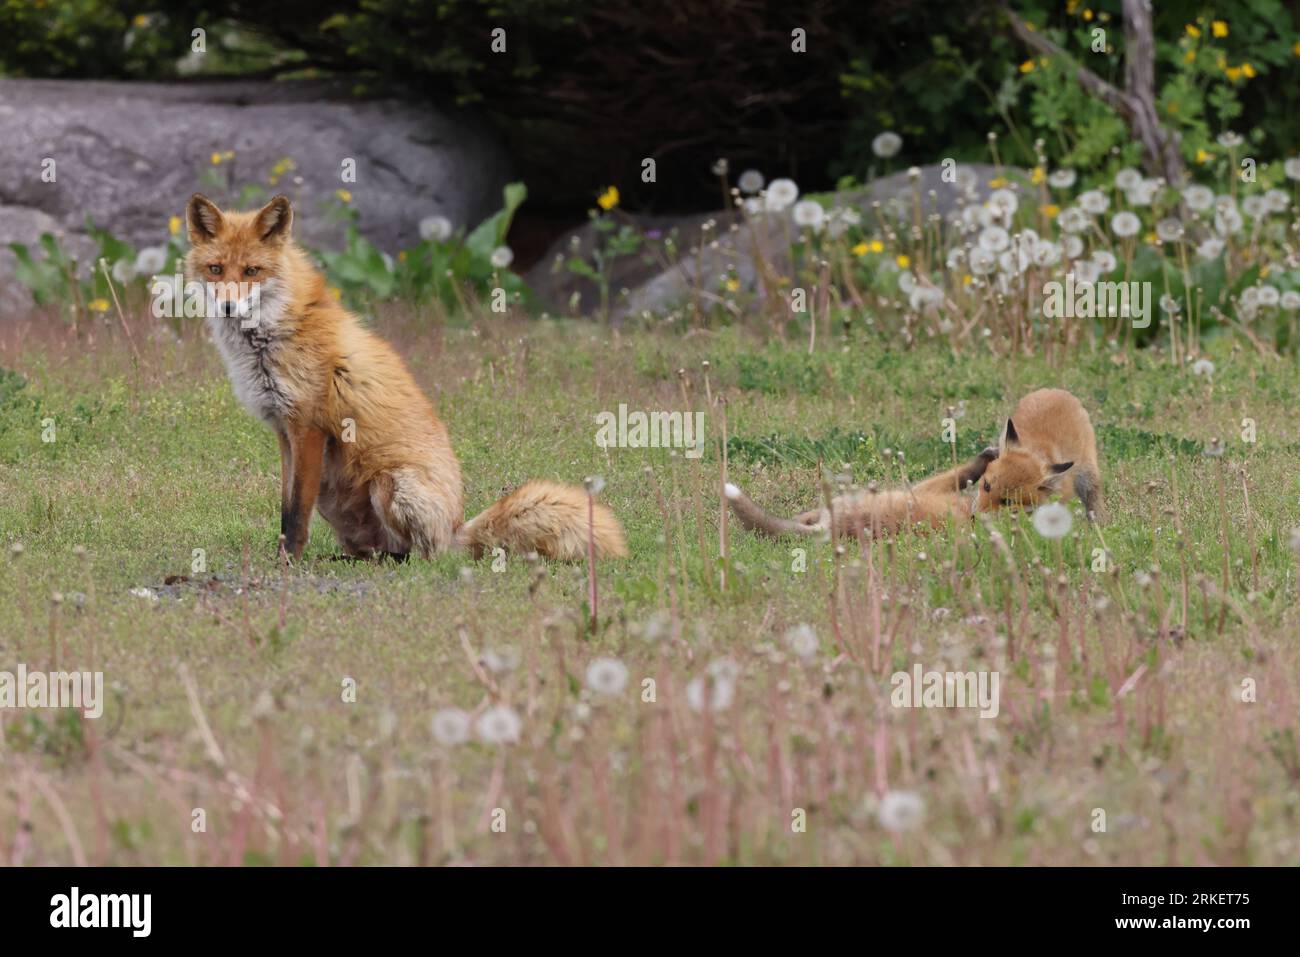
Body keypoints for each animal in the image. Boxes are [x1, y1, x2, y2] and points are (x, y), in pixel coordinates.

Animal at [184, 193, 626, 563]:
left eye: (252, 271)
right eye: (216, 269)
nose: (227, 307)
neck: (272, 335)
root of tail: (457, 529)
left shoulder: (307, 428)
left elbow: (295, 515)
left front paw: (287, 563)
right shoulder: (284, 432)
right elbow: (285, 507)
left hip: (391, 485)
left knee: (423, 556)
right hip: (334, 496)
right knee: (378, 550)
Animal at [974, 388, 1101, 519]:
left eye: (1008, 502)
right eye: (986, 486)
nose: (975, 516)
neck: (1035, 450)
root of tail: (1057, 391)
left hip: (1088, 477)